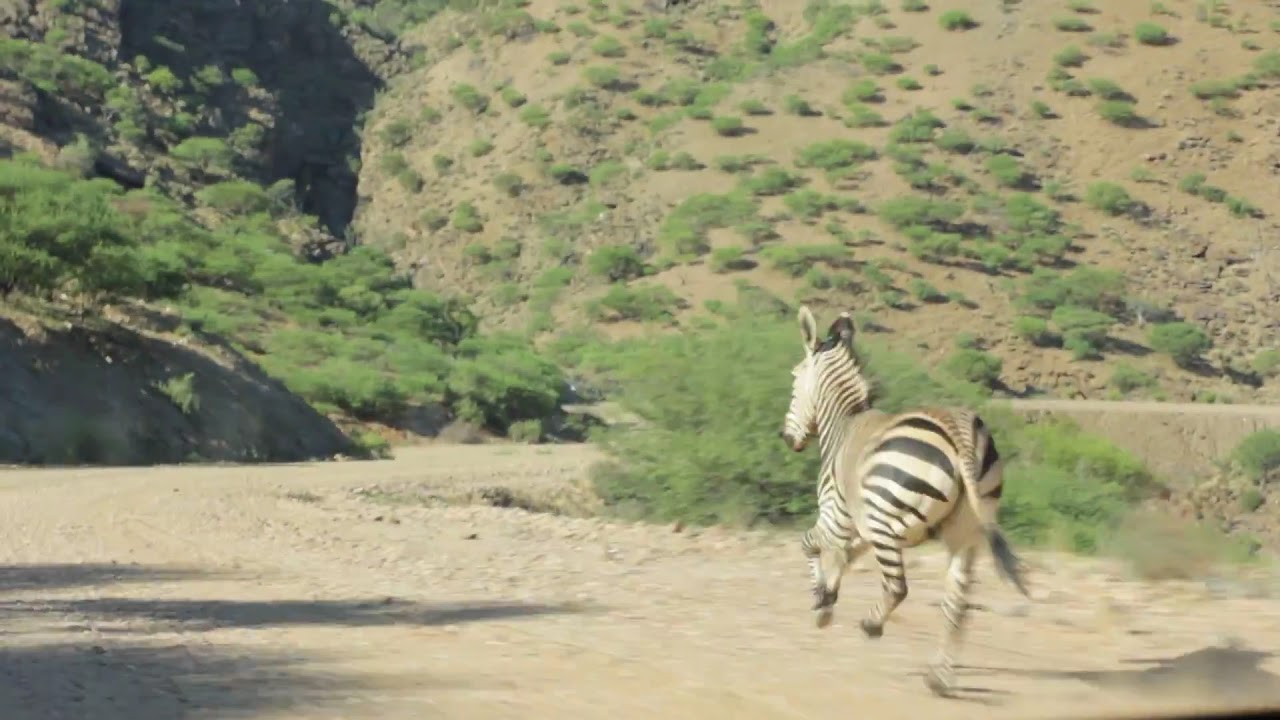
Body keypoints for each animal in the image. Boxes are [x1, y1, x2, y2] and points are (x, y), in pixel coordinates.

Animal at [779, 305, 1030, 697]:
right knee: (957, 601)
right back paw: (940, 677)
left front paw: (821, 600)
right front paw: (827, 595)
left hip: (890, 524)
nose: (788, 438)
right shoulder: (862, 526)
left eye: (794, 381)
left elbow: (809, 544)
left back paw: (872, 625)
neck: (844, 425)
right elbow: (844, 558)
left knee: (898, 587)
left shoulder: (837, 517)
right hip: (965, 533)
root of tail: (959, 428)